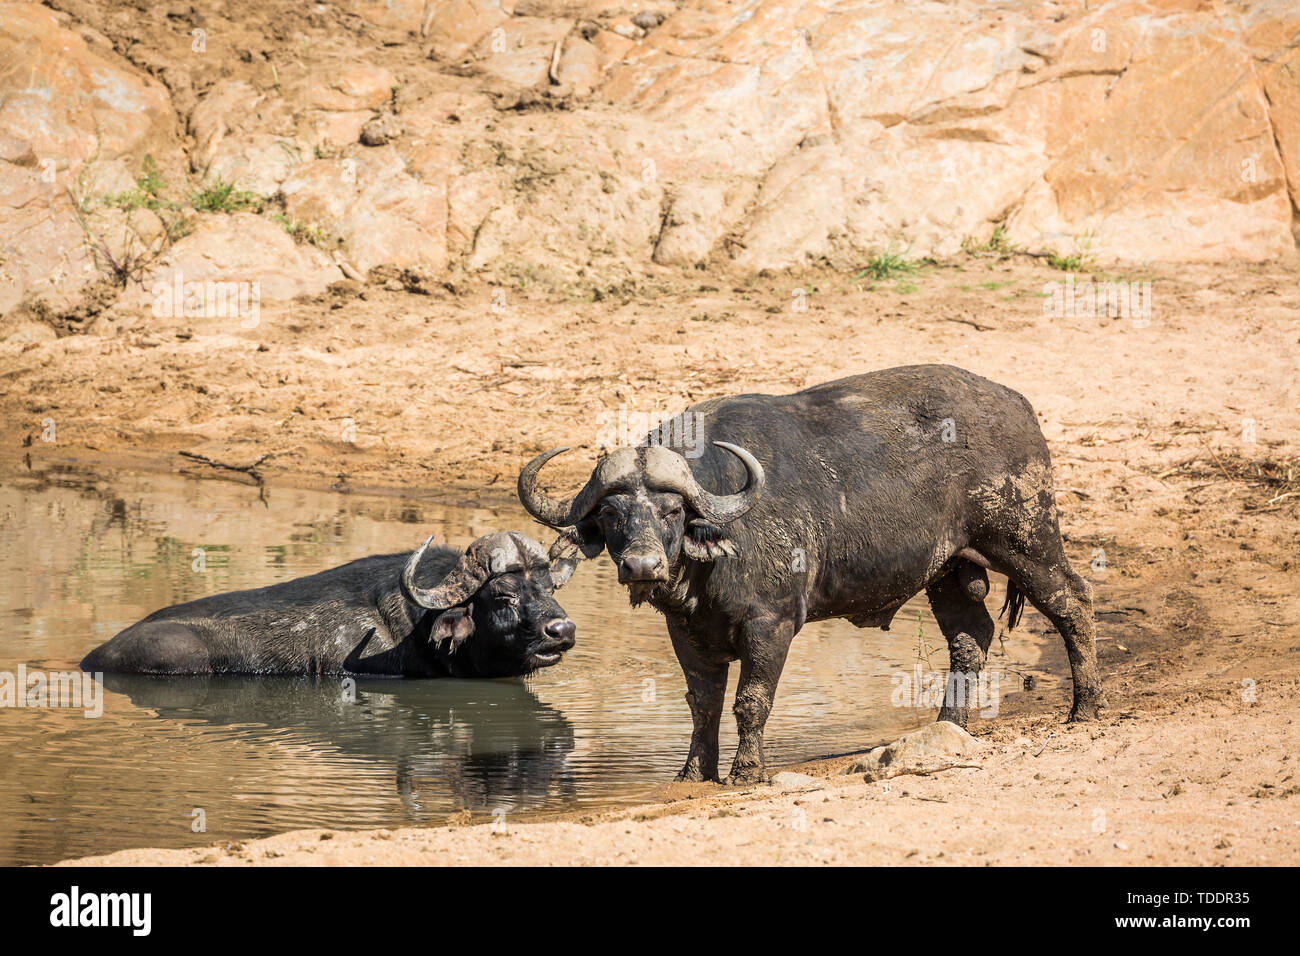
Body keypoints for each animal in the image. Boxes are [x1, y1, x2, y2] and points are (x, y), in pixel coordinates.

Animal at [517, 364, 1105, 784]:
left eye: (671, 511)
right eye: (612, 514)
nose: (642, 565)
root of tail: (1016, 405)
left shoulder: (771, 625)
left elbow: (751, 701)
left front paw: (745, 771)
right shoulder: (684, 630)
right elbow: (703, 703)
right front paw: (693, 772)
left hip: (1026, 539)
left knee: (1073, 602)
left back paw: (1086, 707)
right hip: (949, 570)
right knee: (971, 637)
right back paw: (949, 727)